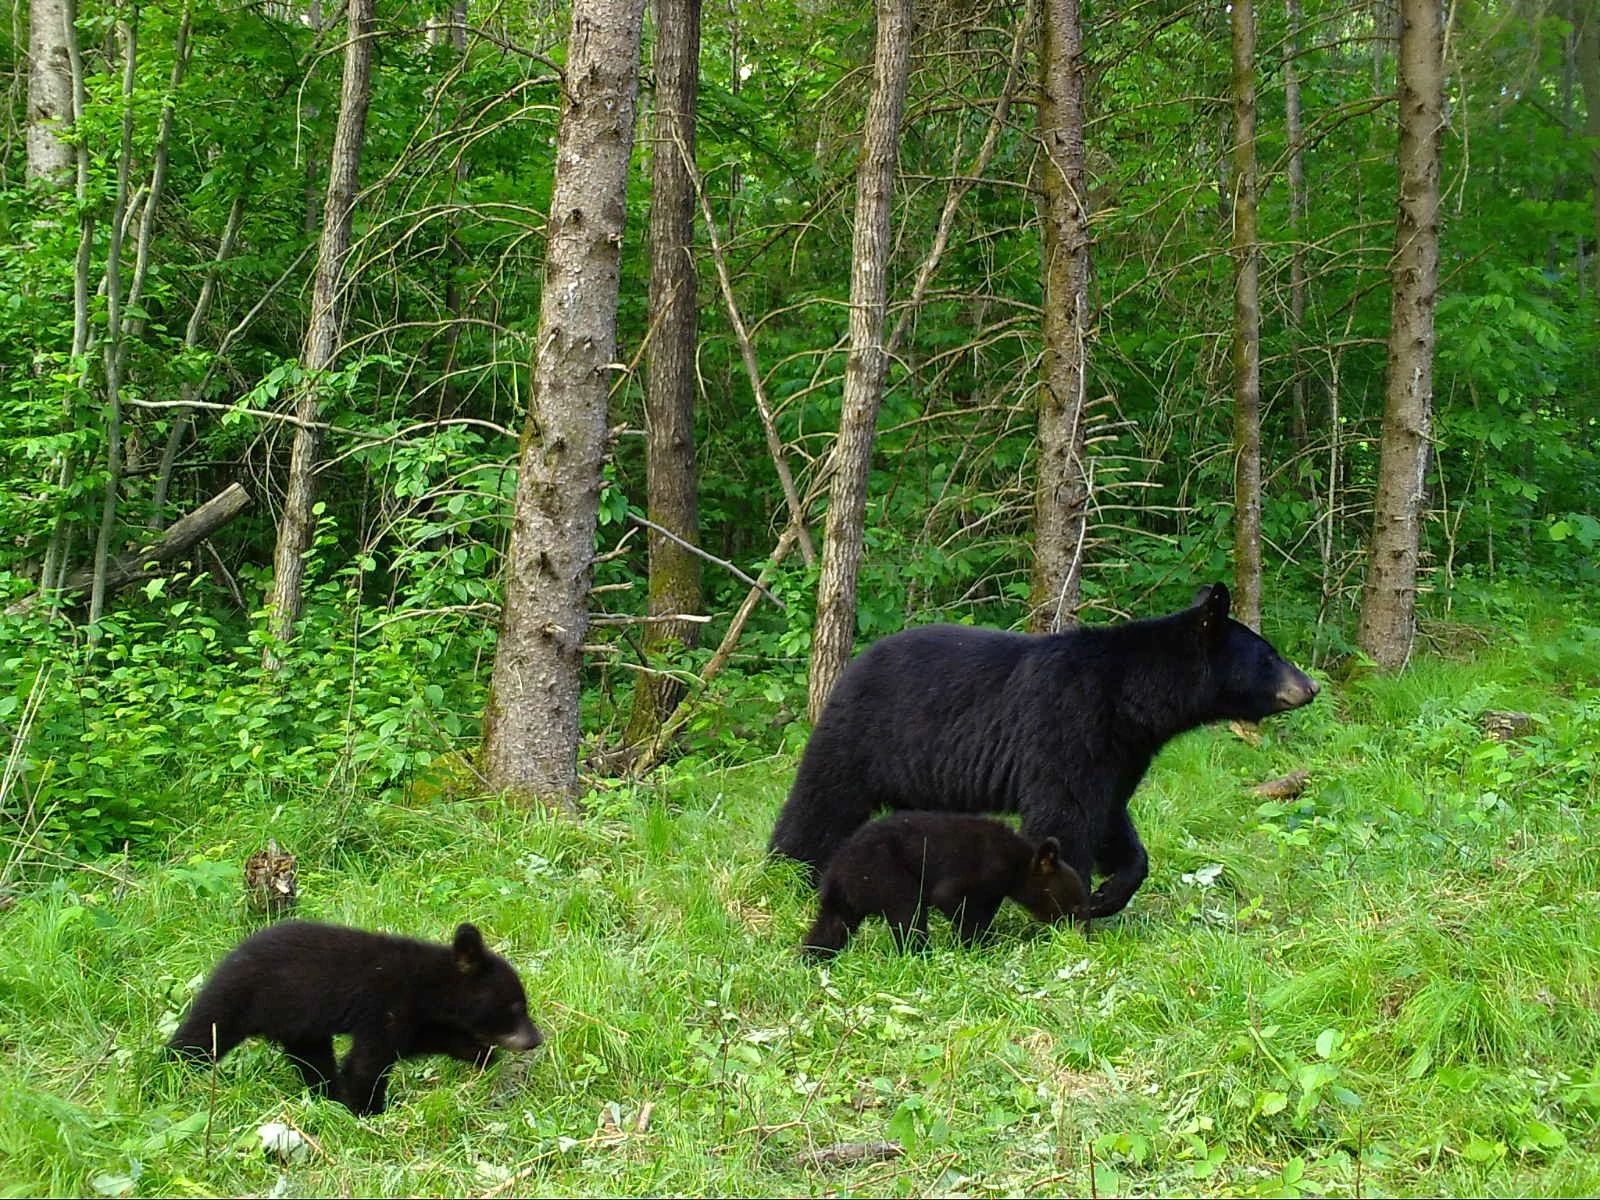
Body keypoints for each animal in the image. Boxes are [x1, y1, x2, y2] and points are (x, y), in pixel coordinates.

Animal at [167, 921, 543, 1115]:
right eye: (515, 1008)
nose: (536, 1039)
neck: (429, 986)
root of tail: (229, 956)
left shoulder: (414, 1020)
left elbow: (426, 1040)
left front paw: (483, 1054)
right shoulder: (384, 1007)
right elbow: (367, 1064)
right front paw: (369, 1111)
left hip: (300, 1026)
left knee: (313, 1060)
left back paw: (325, 1095)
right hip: (238, 997)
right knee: (201, 1036)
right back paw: (167, 1072)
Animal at [770, 583, 1317, 920]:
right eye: (1270, 655)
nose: (1310, 685)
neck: (1131, 699)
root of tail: (852, 665)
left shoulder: (1118, 752)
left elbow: (1111, 818)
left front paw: (1110, 893)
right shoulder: (1068, 726)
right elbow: (1065, 816)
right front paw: (1072, 909)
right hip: (862, 737)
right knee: (821, 802)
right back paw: (788, 870)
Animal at [802, 812, 1090, 958]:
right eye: (1075, 908)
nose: (1081, 939)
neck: (1017, 864)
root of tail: (836, 870)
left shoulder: (992, 891)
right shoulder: (983, 867)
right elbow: (949, 898)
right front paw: (979, 945)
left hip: (844, 898)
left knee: (831, 926)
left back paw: (812, 957)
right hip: (885, 872)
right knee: (908, 911)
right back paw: (922, 955)